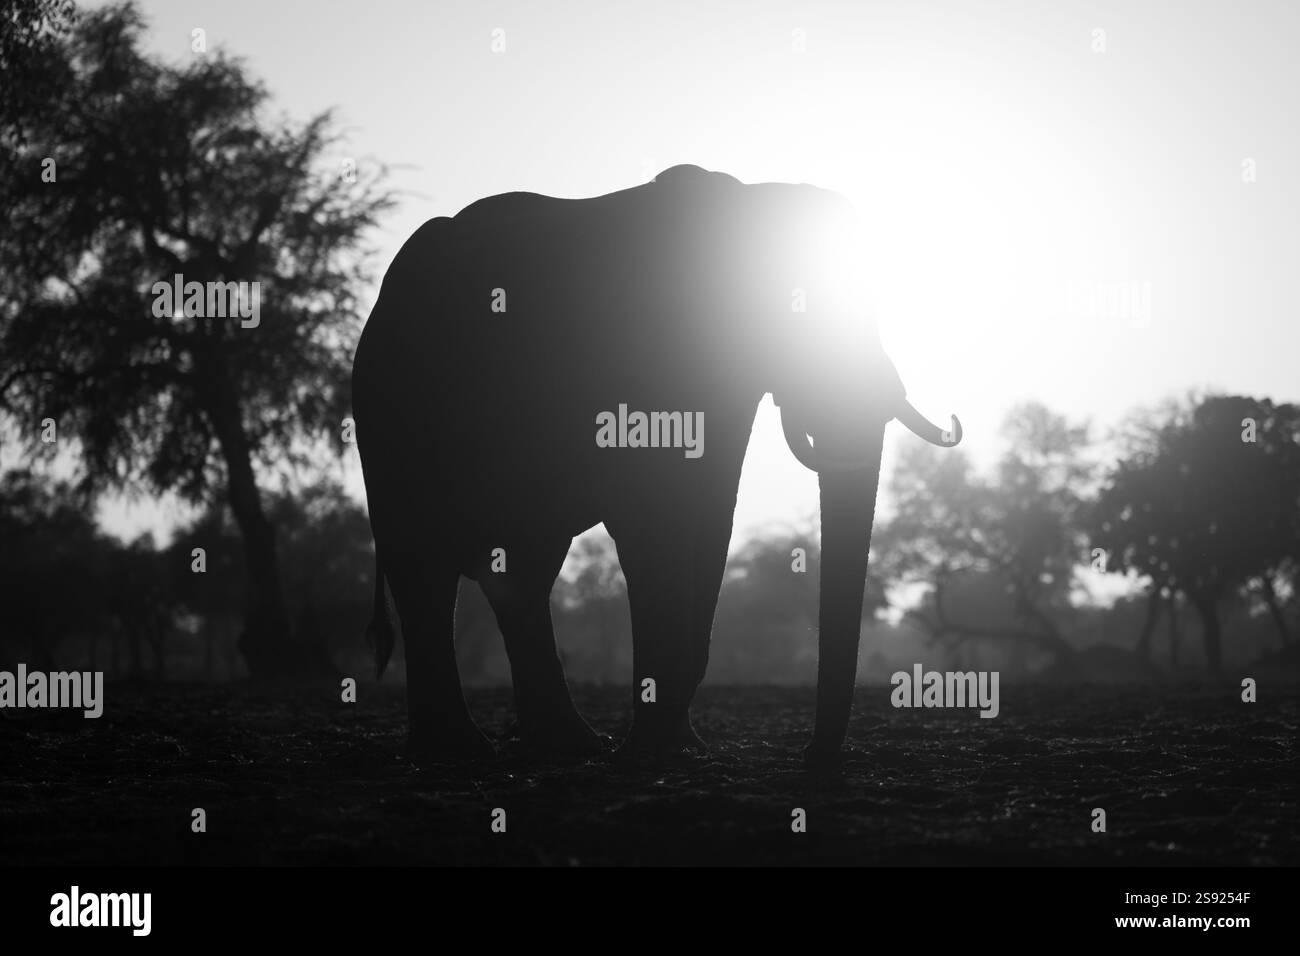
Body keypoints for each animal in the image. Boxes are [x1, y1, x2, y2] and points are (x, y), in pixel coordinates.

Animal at [351, 164, 961, 768]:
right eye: (798, 307)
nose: (810, 755)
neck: (747, 202)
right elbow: (651, 523)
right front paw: (656, 748)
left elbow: (712, 516)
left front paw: (677, 742)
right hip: (389, 409)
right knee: (425, 563)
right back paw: (459, 748)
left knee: (521, 570)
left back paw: (565, 744)